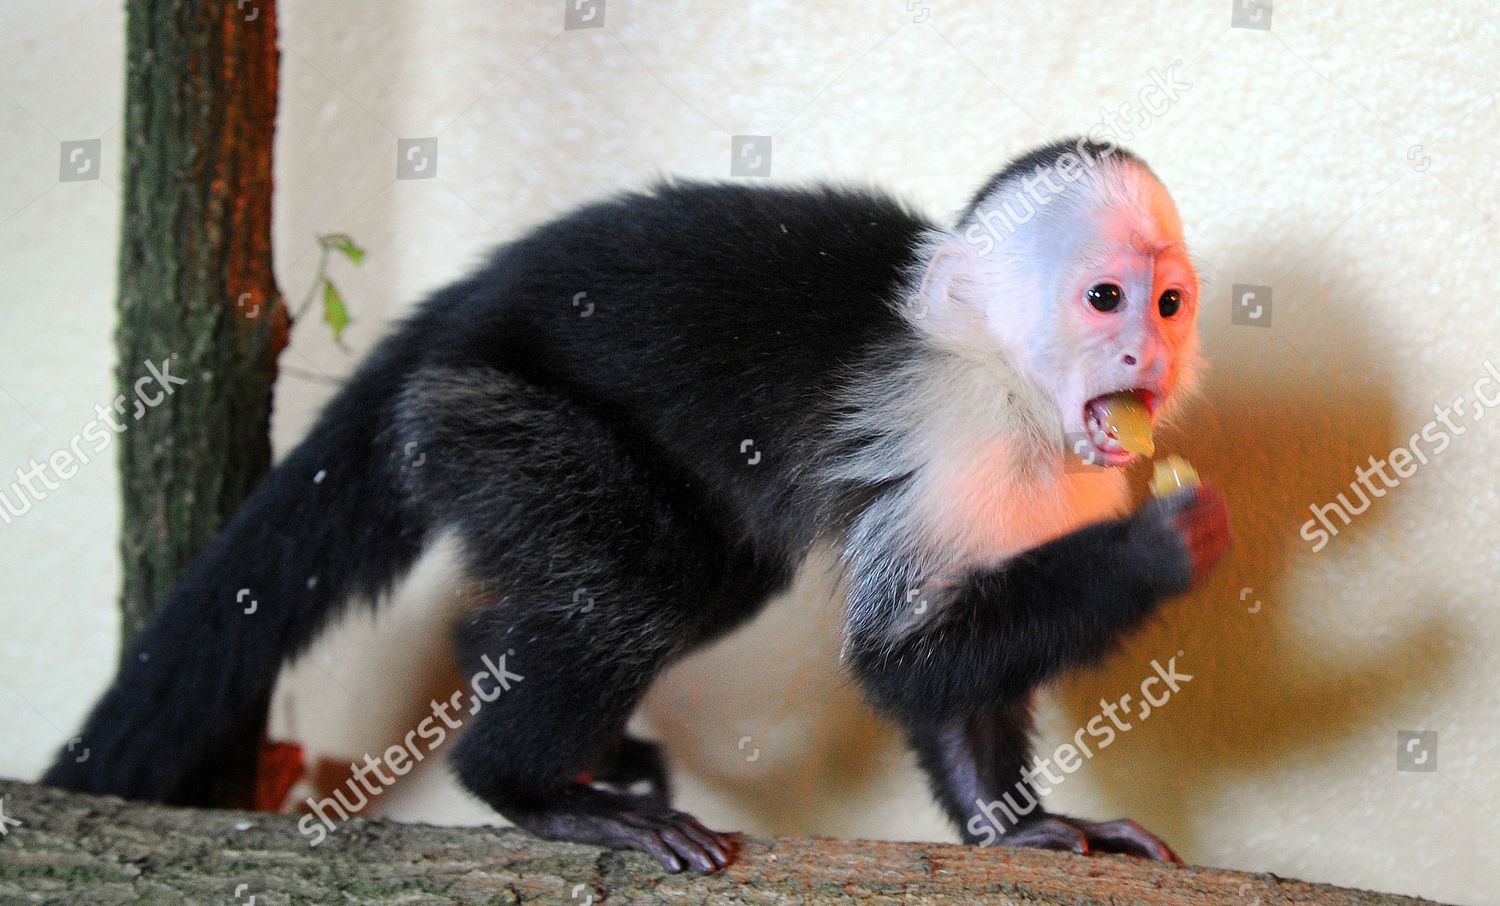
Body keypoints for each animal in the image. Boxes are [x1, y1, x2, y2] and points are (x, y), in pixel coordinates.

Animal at [44, 137, 1229, 873]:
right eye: (1105, 298)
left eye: (1169, 303)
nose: (1149, 354)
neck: (1000, 378)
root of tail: (459, 308)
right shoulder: (955, 436)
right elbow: (901, 658)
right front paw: (1154, 551)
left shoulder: (1050, 475)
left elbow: (944, 677)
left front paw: (1016, 828)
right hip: (475, 411)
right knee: (644, 586)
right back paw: (532, 787)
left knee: (710, 578)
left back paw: (504, 674)